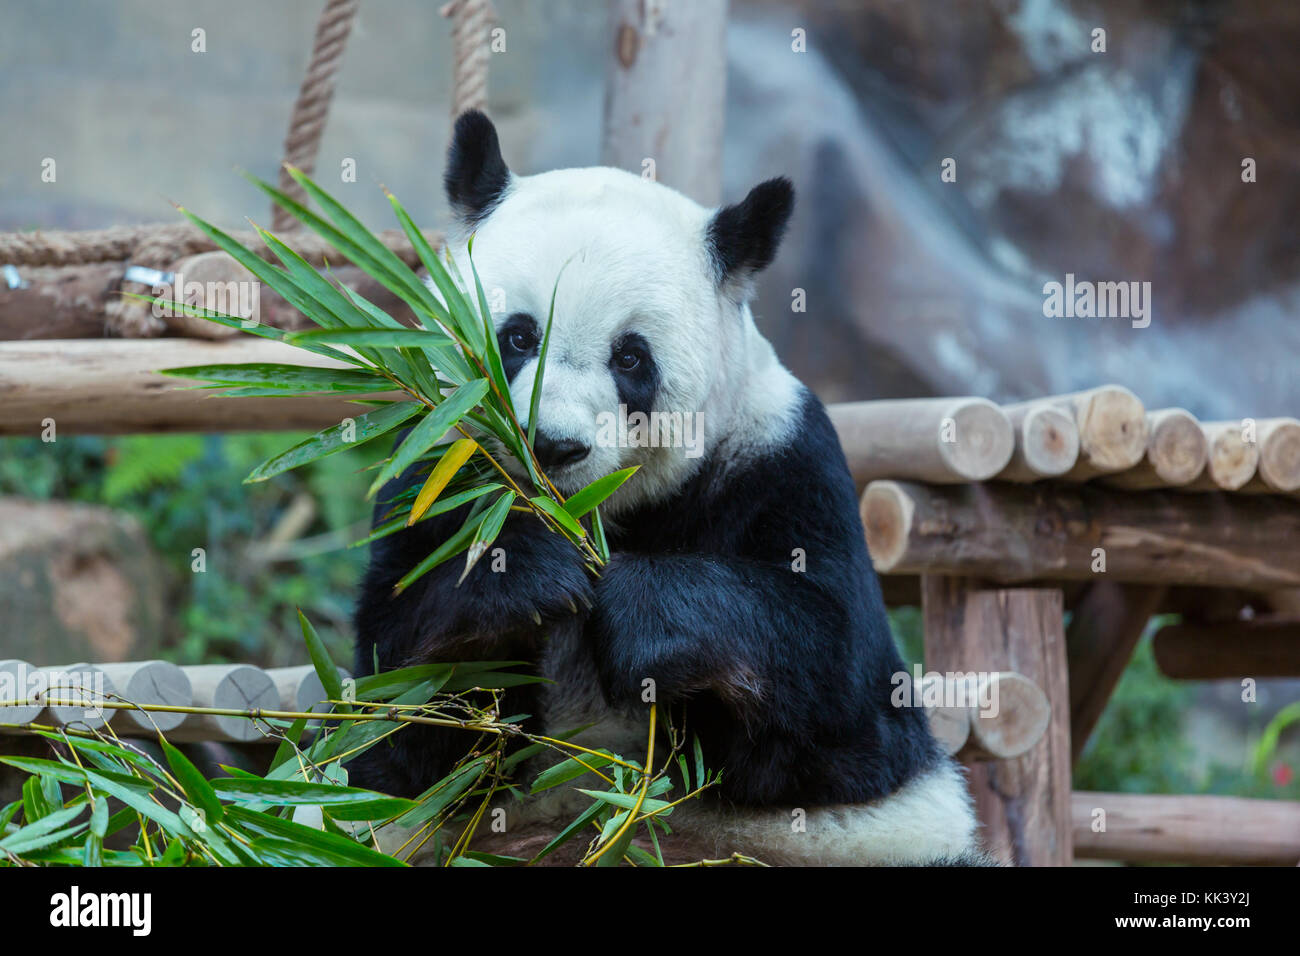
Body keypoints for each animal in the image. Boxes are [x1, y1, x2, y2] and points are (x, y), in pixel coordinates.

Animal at [351, 110, 984, 866]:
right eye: (517, 337)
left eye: (631, 358)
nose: (553, 446)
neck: (602, 513)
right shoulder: (436, 466)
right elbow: (397, 719)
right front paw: (526, 576)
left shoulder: (783, 461)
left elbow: (848, 705)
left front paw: (638, 612)